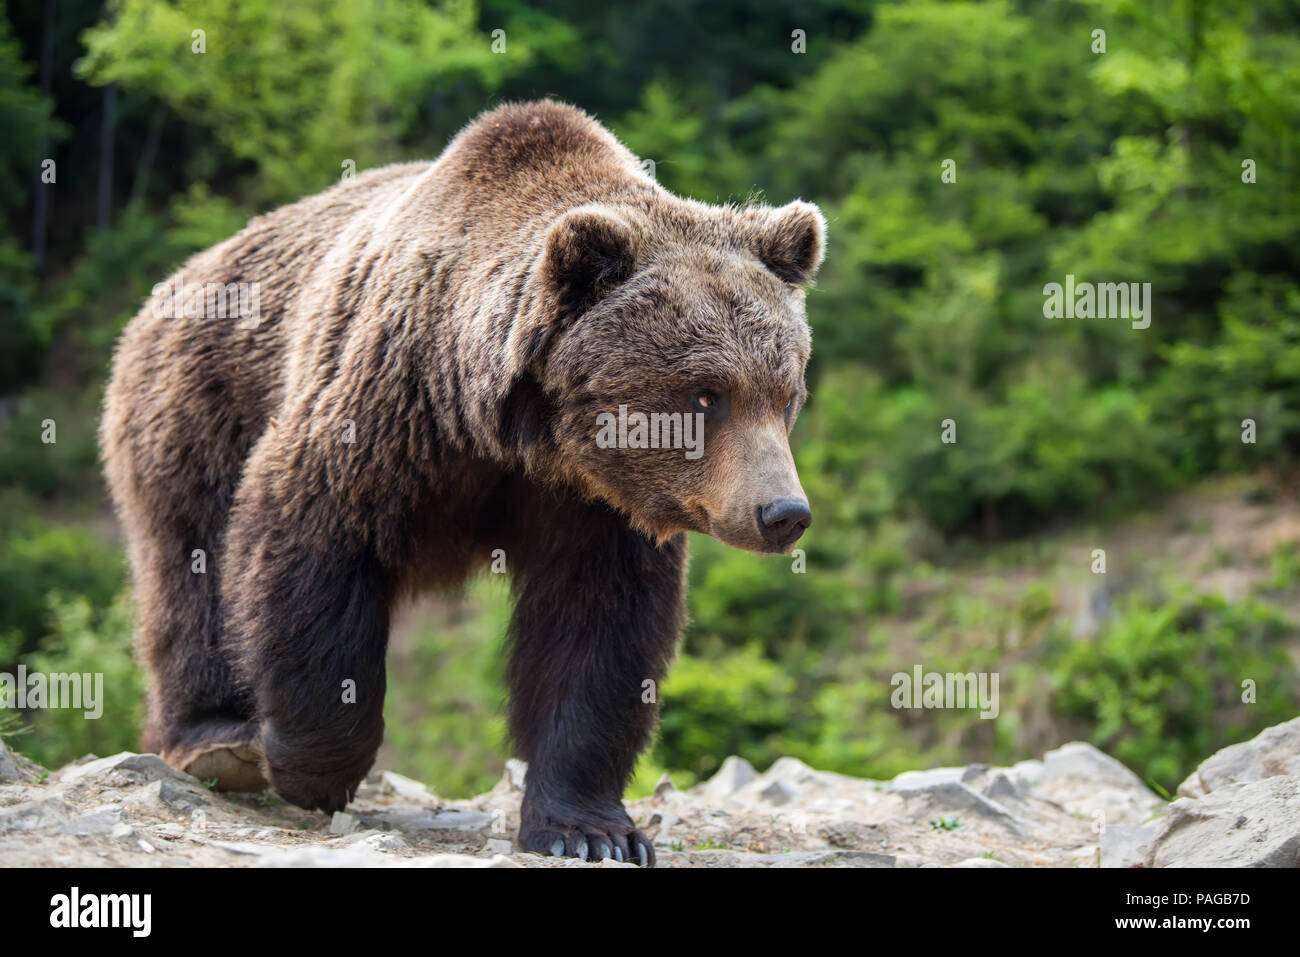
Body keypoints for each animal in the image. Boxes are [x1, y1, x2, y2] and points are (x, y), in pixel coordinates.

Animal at [100, 100, 824, 866]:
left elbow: (599, 629)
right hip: (199, 402)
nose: (783, 512)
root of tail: (175, 281)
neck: (508, 431)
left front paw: (591, 830)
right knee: (191, 570)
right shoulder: (382, 414)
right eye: (705, 393)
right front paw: (309, 767)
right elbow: (308, 548)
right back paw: (213, 739)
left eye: (786, 392)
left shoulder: (593, 504)